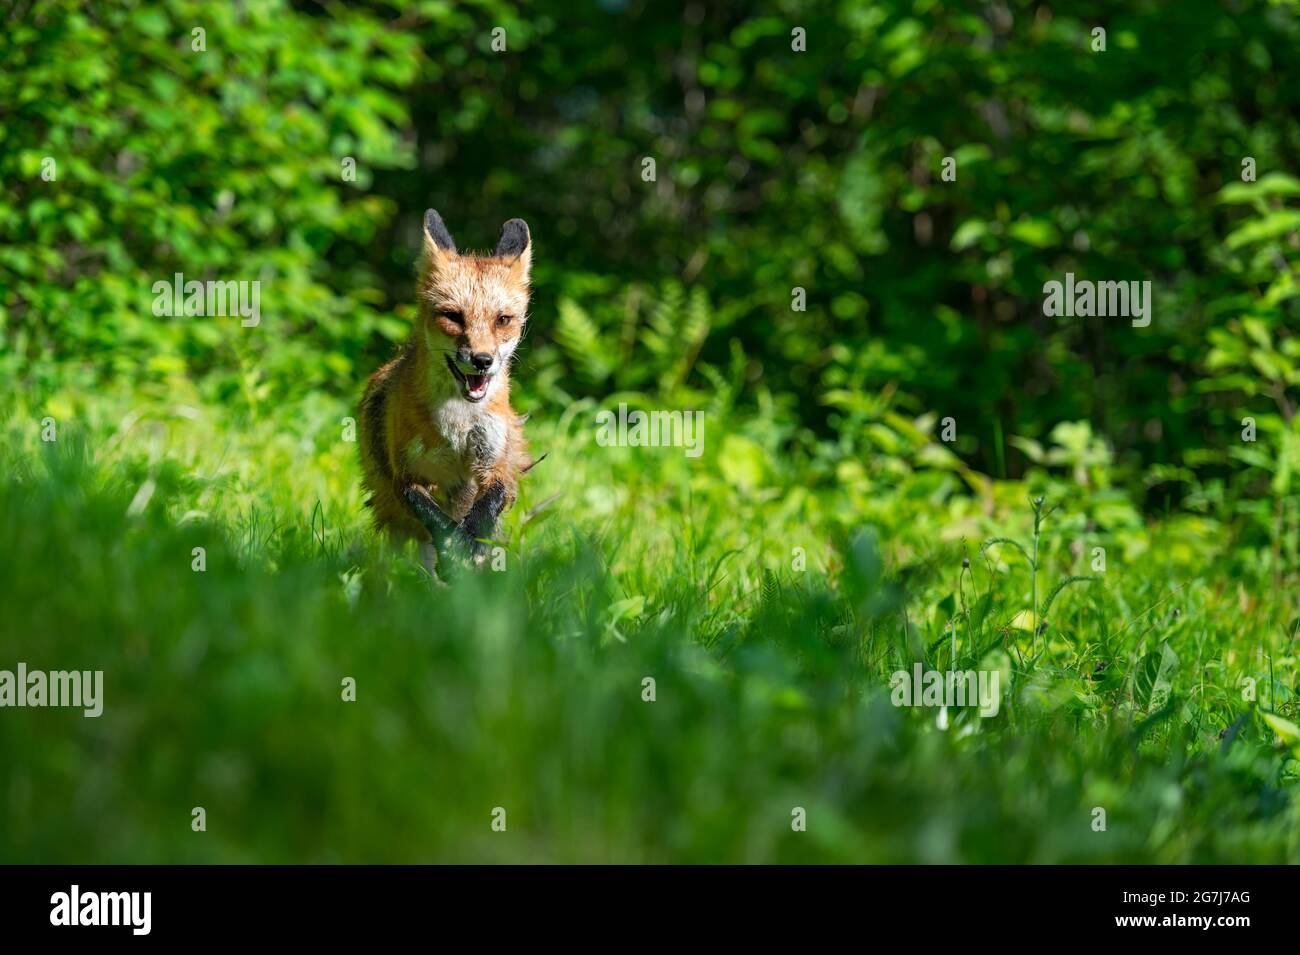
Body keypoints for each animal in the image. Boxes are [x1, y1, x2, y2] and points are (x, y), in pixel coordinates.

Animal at [358, 209, 538, 577]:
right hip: (392, 511)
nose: (482, 360)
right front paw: (456, 548)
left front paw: (468, 545)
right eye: (453, 316)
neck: (458, 423)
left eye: (503, 319)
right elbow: (436, 522)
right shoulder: (406, 475)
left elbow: (487, 506)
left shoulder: (496, 462)